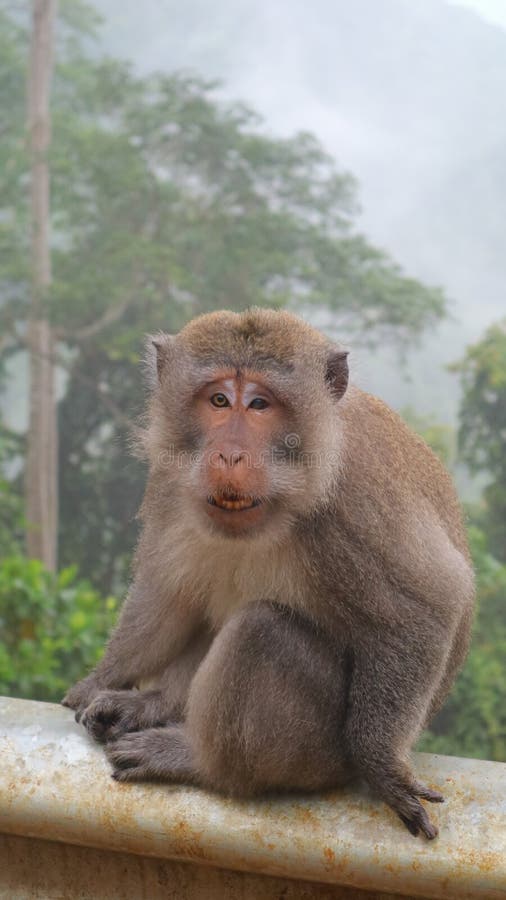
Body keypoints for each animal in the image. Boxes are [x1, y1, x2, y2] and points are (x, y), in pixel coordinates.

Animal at [63, 308, 475, 840]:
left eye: (260, 404)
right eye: (219, 400)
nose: (230, 455)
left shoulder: (356, 498)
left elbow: (425, 610)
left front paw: (383, 764)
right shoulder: (171, 479)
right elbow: (165, 593)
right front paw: (103, 679)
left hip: (321, 750)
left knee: (263, 630)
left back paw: (198, 761)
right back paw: (156, 705)